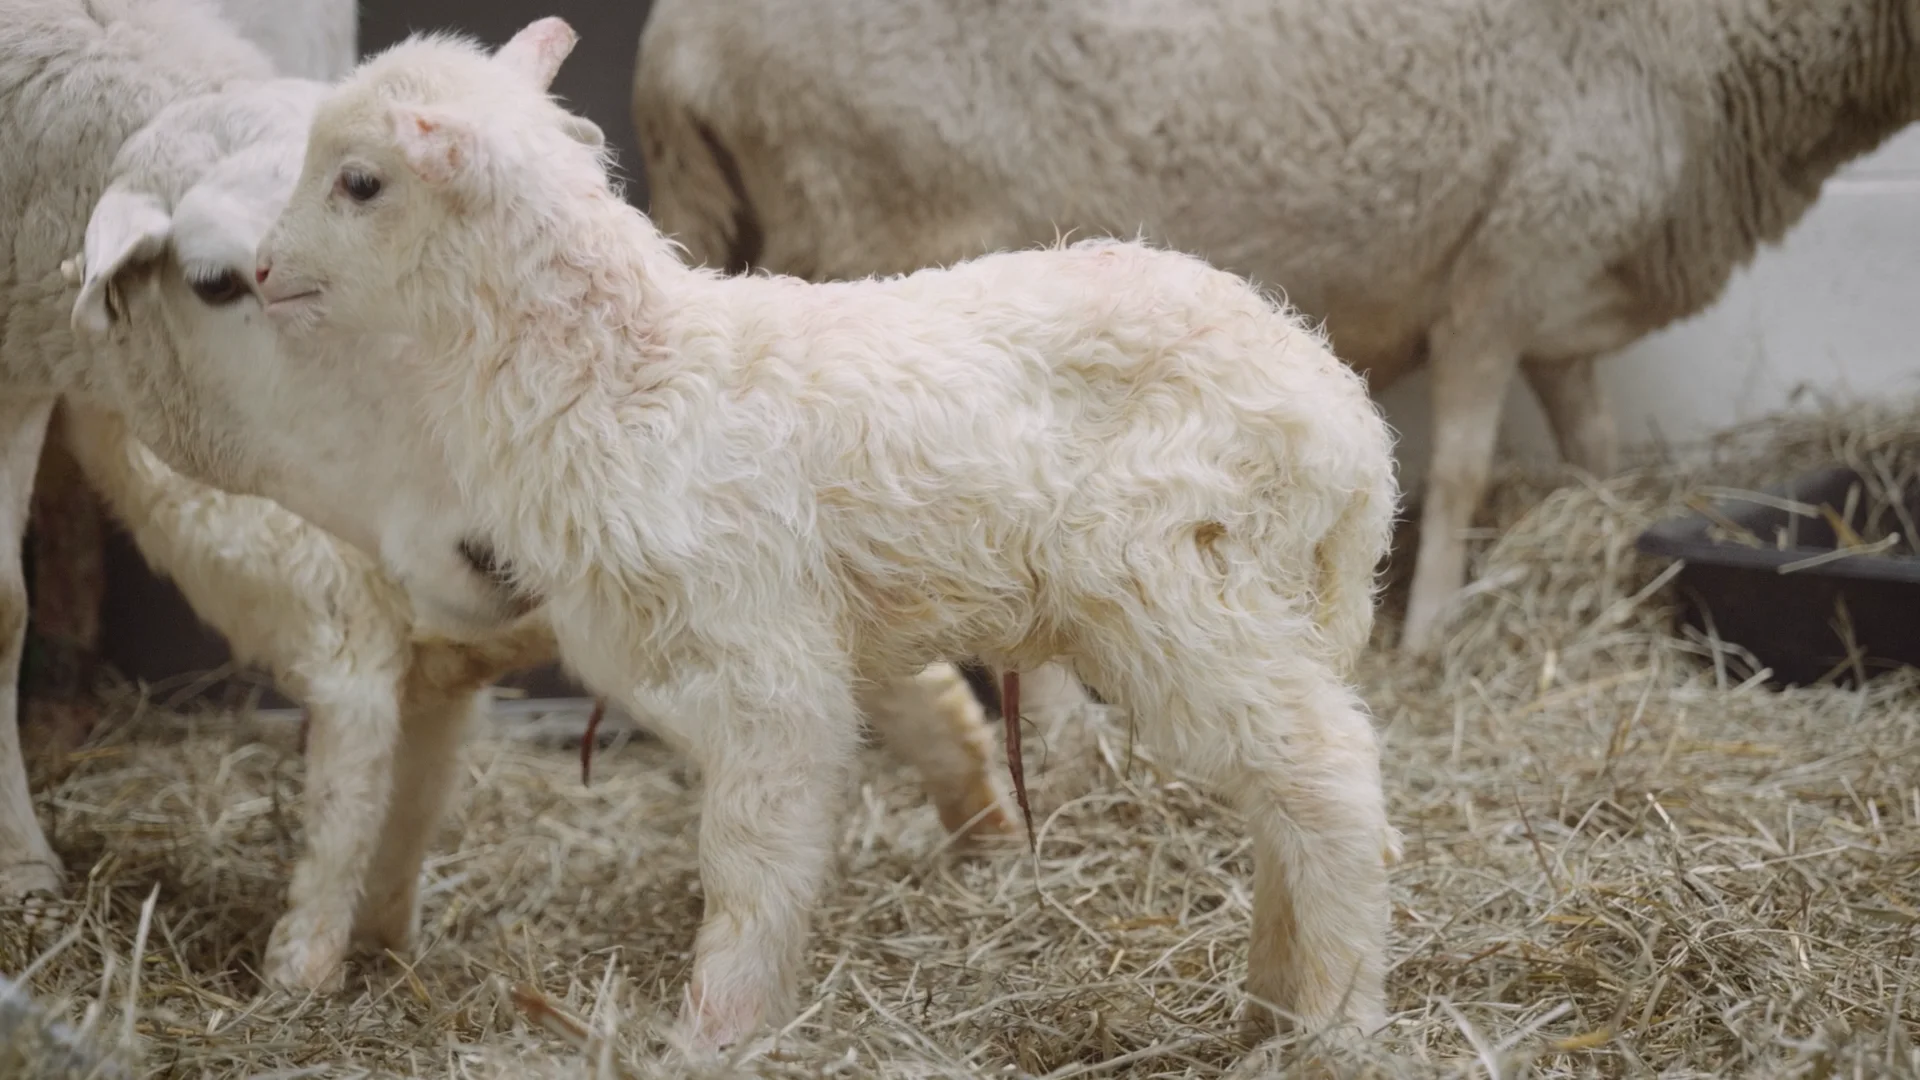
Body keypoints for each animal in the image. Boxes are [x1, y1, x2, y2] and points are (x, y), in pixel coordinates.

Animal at [247, 18, 1402, 1048]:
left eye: (359, 182)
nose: (257, 272)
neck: (628, 375)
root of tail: (1350, 434)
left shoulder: (766, 650)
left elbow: (753, 857)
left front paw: (712, 1032)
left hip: (1181, 579)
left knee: (1329, 772)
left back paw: (1336, 1025)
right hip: (1256, 593)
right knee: (1284, 794)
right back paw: (1269, 1008)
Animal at [630, 0, 1920, 658]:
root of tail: (671, 49)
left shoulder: (1559, 293)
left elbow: (1595, 455)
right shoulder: (1497, 270)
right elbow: (1459, 469)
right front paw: (1425, 633)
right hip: (864, 229)